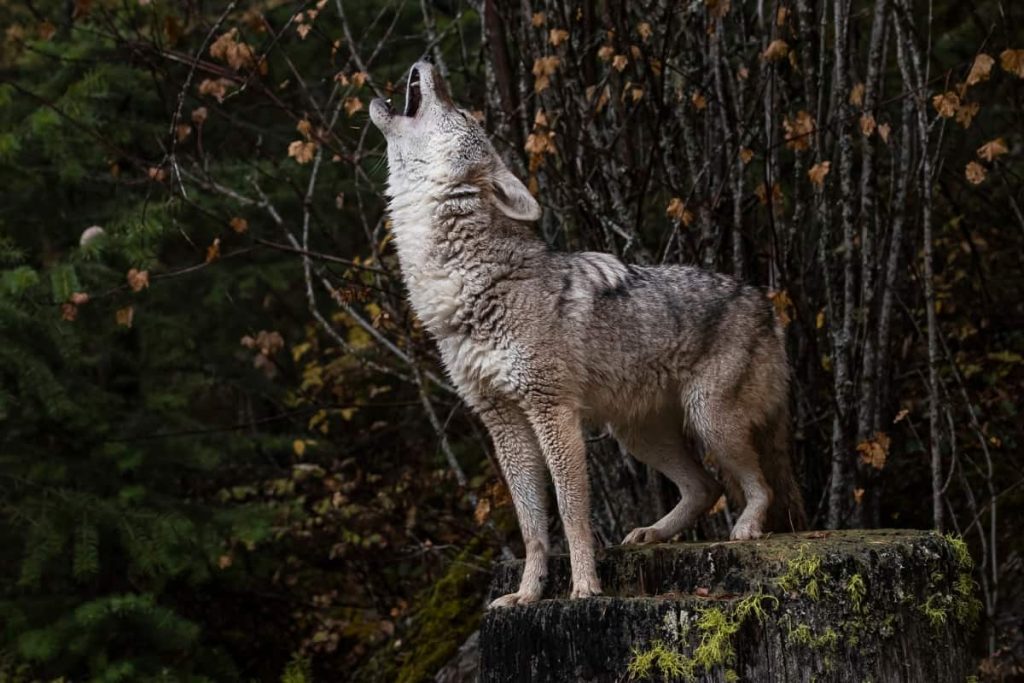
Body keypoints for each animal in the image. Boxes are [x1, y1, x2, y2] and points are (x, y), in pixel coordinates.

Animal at [369, 62, 806, 608]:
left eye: (462, 112)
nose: (427, 66)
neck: (469, 288)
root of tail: (765, 303)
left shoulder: (552, 412)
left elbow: (571, 511)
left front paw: (583, 586)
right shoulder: (504, 425)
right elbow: (532, 526)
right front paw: (526, 594)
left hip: (709, 420)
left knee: (754, 485)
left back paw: (746, 528)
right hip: (638, 436)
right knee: (705, 488)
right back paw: (652, 534)